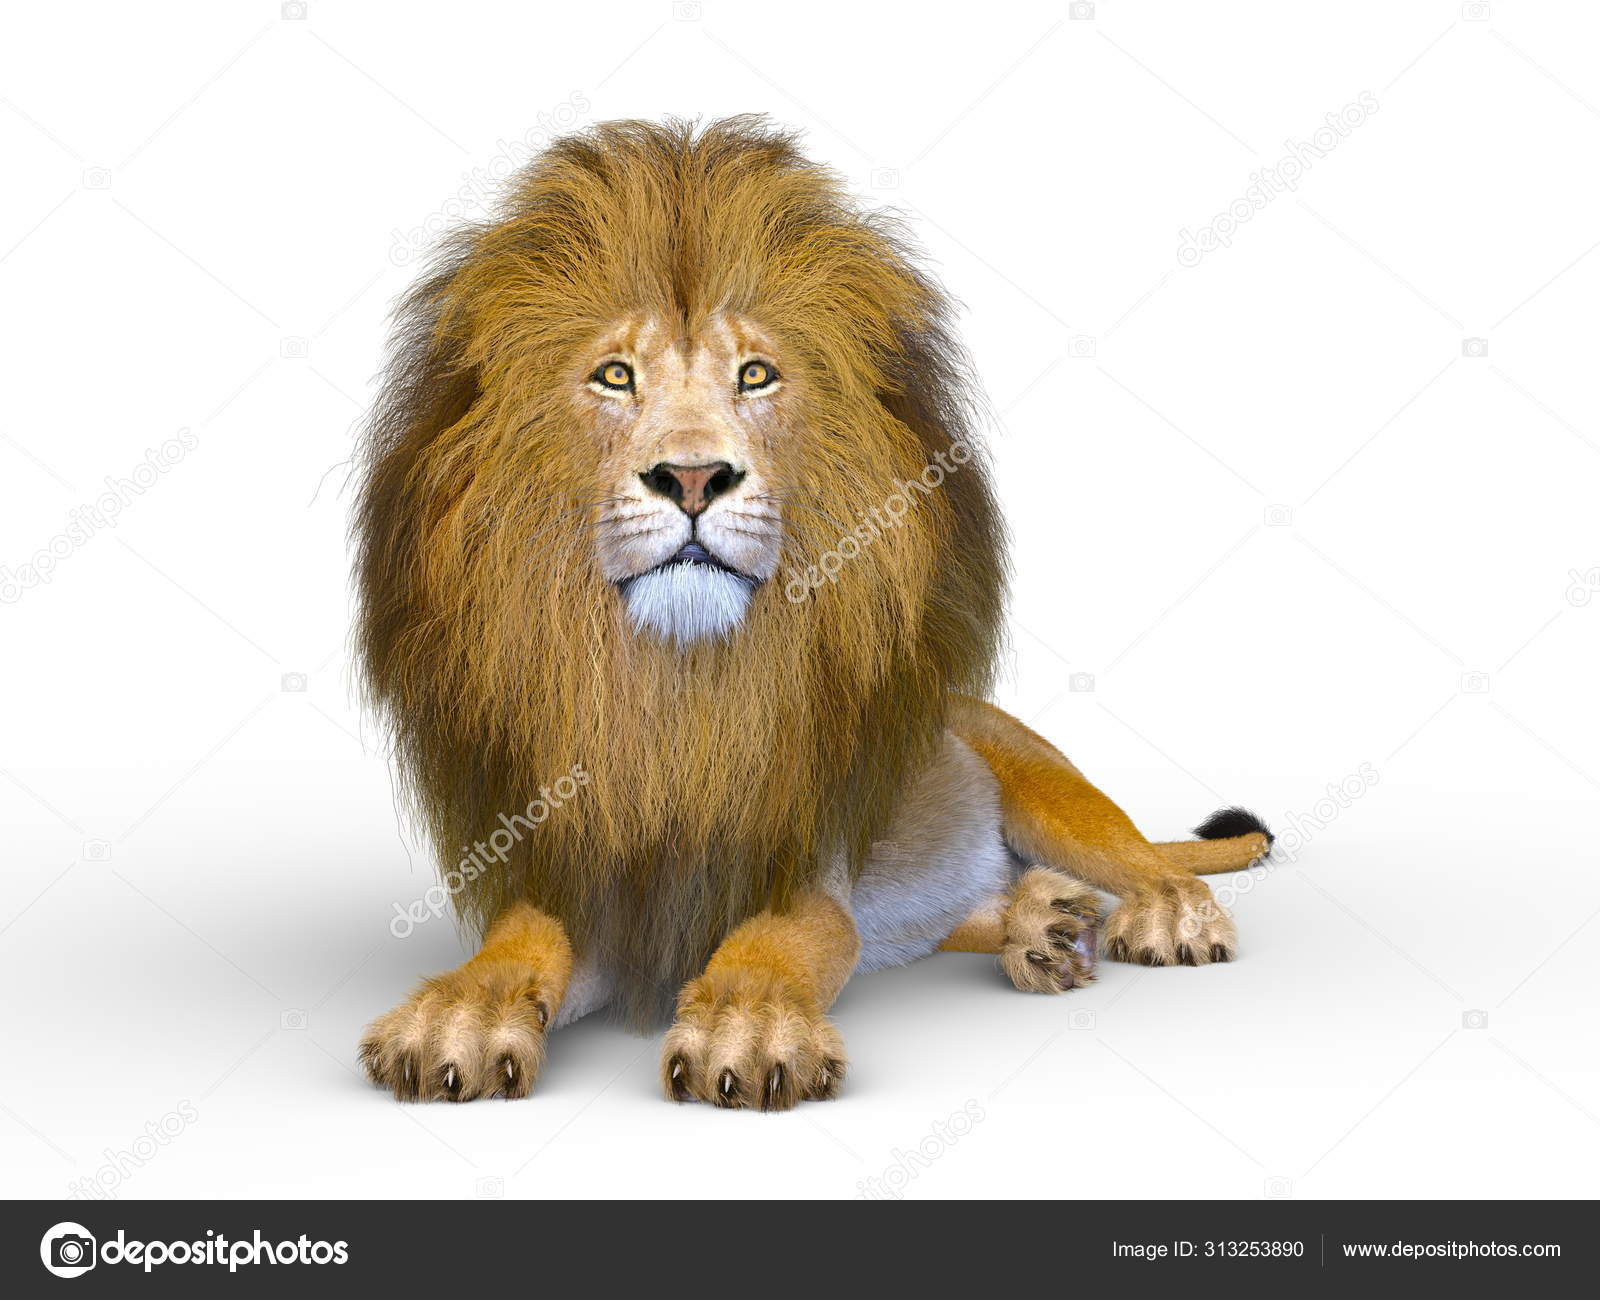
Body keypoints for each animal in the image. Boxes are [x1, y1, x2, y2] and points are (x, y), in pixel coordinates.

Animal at [354, 116, 1272, 1109]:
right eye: (615, 376)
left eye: (756, 376)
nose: (691, 478)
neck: (674, 693)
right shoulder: (579, 874)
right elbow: (516, 945)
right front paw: (457, 1018)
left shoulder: (804, 871)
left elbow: (770, 944)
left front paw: (748, 1031)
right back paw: (1043, 925)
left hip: (1050, 790)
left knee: (1141, 858)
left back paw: (1157, 917)